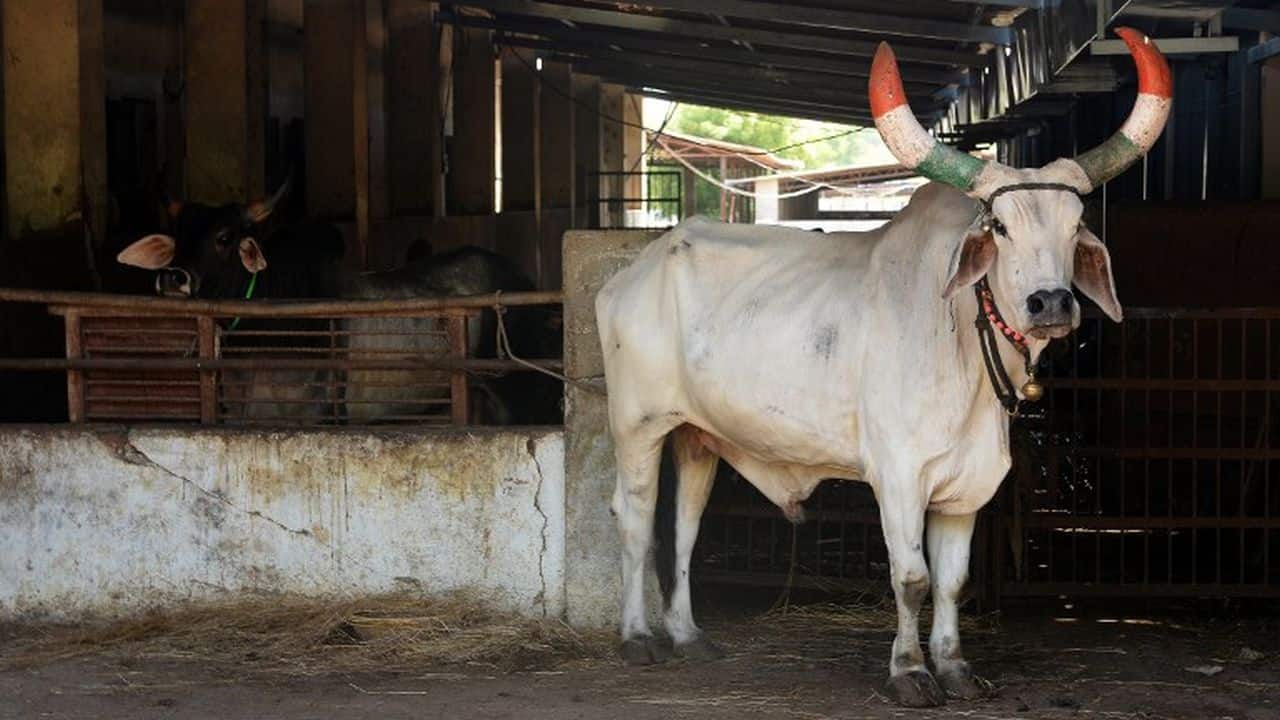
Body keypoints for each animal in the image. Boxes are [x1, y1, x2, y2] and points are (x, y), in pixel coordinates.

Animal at [595, 29, 1169, 707]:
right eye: (1000, 226)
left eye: (1076, 224)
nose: (1051, 303)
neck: (964, 348)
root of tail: (636, 269)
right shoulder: (898, 478)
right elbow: (912, 577)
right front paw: (910, 671)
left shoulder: (967, 487)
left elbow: (952, 581)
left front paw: (954, 666)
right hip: (637, 425)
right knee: (636, 522)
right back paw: (637, 637)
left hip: (696, 435)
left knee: (685, 524)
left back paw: (687, 634)